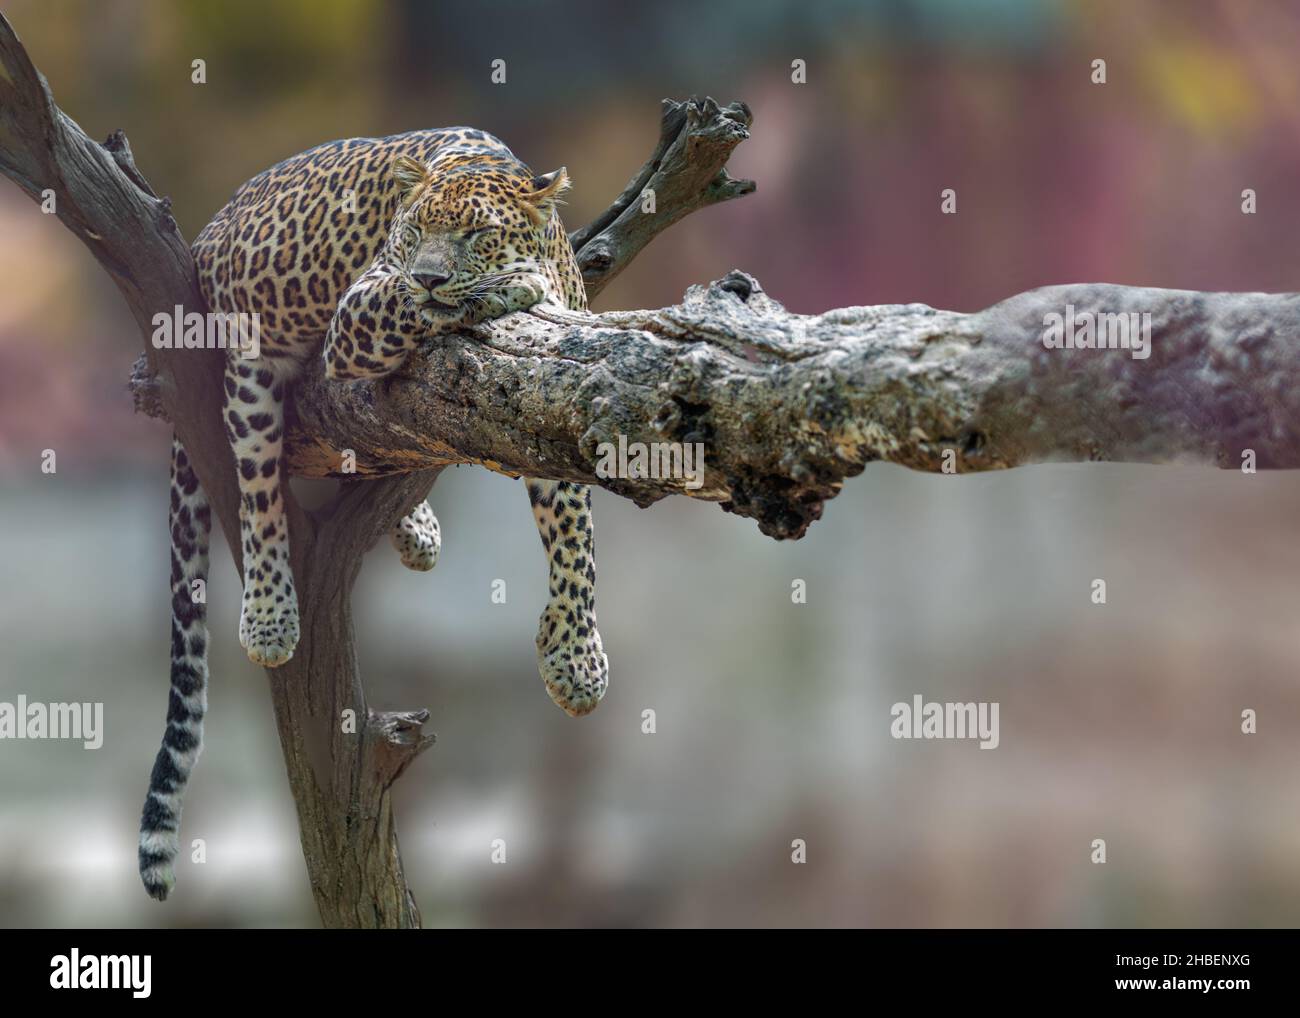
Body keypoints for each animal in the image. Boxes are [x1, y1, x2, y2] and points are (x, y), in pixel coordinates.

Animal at [138, 129, 609, 901]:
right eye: (413, 233)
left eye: (476, 234)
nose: (430, 274)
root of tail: (208, 234)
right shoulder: (363, 307)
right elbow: (417, 304)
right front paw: (497, 288)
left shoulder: (549, 407)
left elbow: (576, 538)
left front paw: (575, 658)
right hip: (245, 377)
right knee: (257, 492)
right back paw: (270, 616)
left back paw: (416, 529)